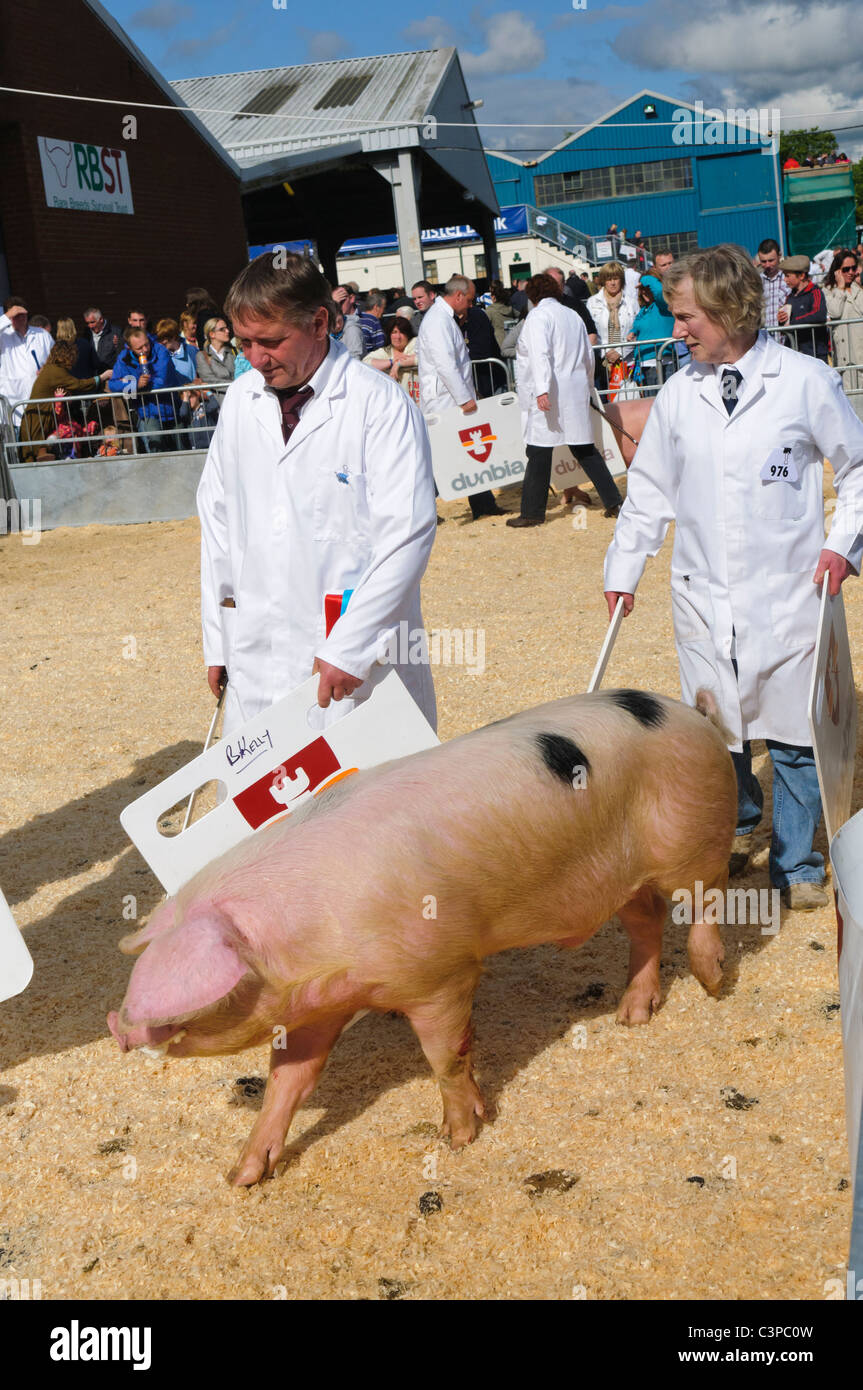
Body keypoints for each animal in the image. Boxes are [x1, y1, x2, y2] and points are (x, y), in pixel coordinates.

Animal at [108, 687, 736, 1186]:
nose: (116, 1024)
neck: (309, 941)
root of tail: (694, 714)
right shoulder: (315, 1007)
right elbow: (286, 1083)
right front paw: (241, 1177)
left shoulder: (441, 973)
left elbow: (446, 1056)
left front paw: (456, 1138)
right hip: (620, 879)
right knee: (646, 919)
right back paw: (632, 1017)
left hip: (693, 832)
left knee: (705, 896)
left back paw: (712, 981)